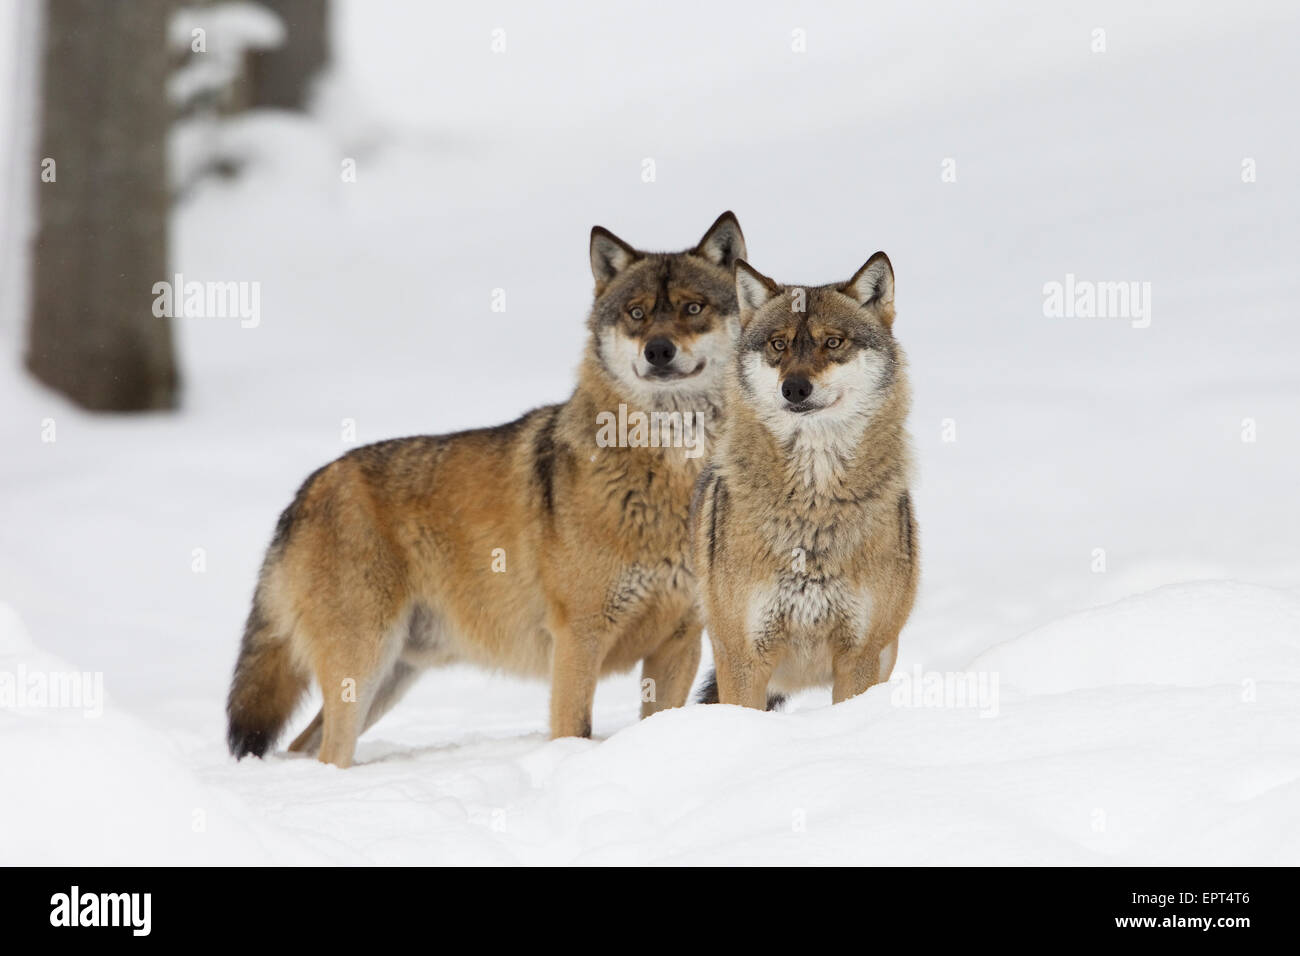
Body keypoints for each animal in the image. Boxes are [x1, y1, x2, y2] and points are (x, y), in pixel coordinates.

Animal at [227, 212, 747, 766]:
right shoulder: (578, 638)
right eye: (636, 313)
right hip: (363, 666)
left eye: (693, 308)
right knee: (324, 749)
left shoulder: (680, 642)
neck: (669, 473)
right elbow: (573, 729)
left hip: (389, 676)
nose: (658, 351)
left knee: (302, 745)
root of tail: (305, 489)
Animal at [691, 252, 917, 709]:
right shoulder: (742, 658)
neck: (814, 505)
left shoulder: (860, 658)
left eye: (832, 342)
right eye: (778, 344)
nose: (794, 388)